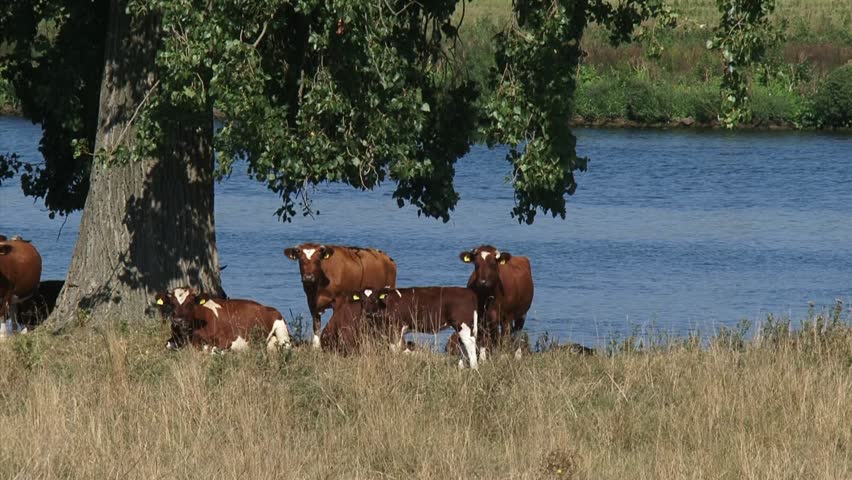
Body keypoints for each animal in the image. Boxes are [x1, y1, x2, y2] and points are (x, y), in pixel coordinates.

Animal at [154, 287, 291, 352]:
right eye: (172, 304)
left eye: (190, 303)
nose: (178, 321)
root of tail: (266, 307)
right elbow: (167, 345)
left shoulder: (225, 341)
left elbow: (214, 350)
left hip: (282, 332)